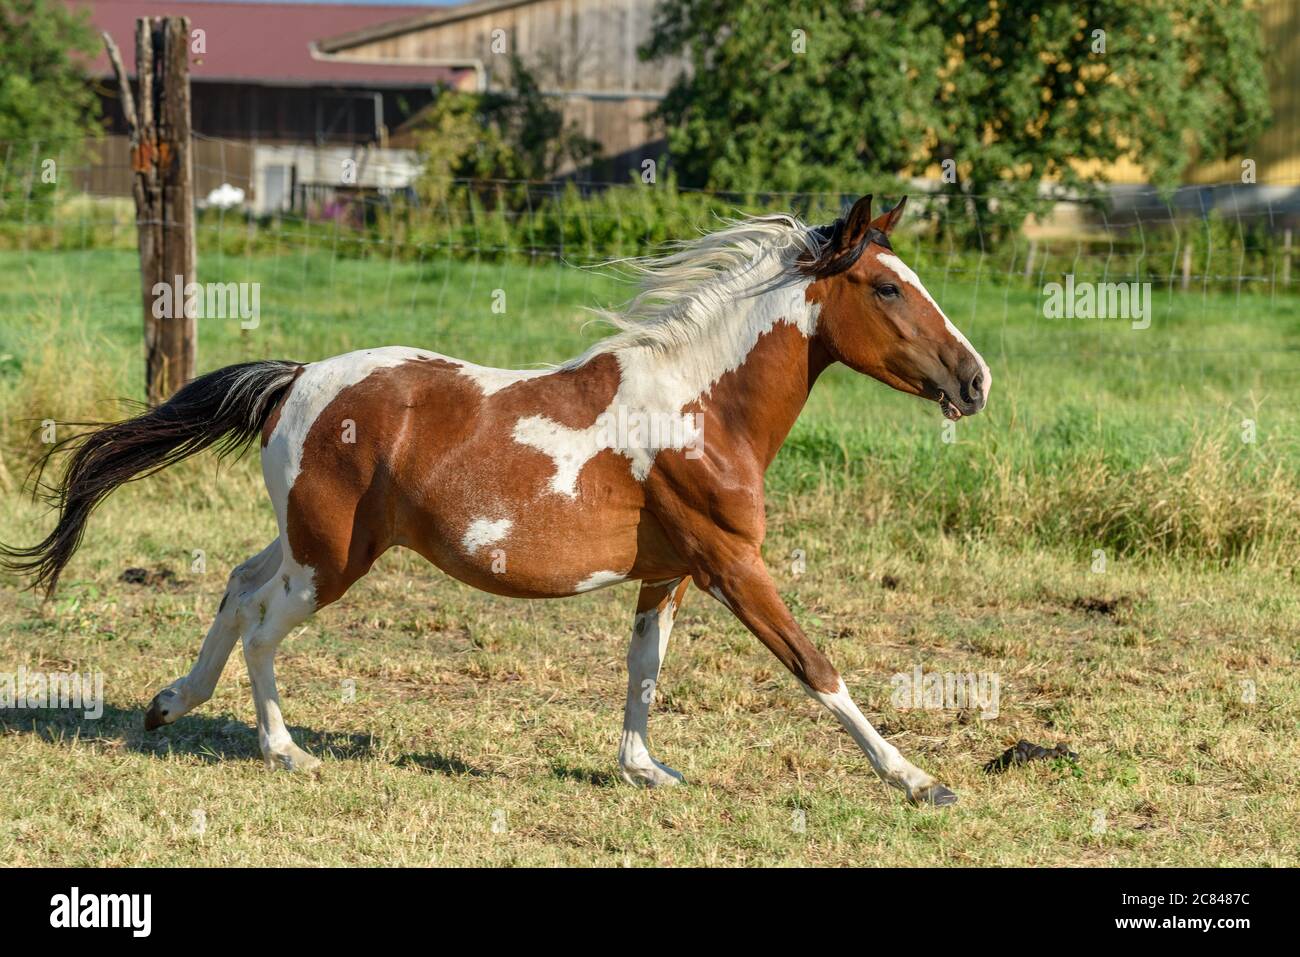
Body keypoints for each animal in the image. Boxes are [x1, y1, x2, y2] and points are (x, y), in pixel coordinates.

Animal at [2, 194, 989, 806]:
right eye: (887, 286)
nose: (974, 381)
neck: (701, 405)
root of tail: (296, 379)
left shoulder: (668, 572)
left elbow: (642, 670)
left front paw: (643, 769)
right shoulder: (731, 564)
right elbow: (817, 667)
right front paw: (919, 780)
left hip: (304, 540)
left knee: (237, 587)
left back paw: (170, 703)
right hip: (334, 559)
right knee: (261, 624)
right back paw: (284, 750)